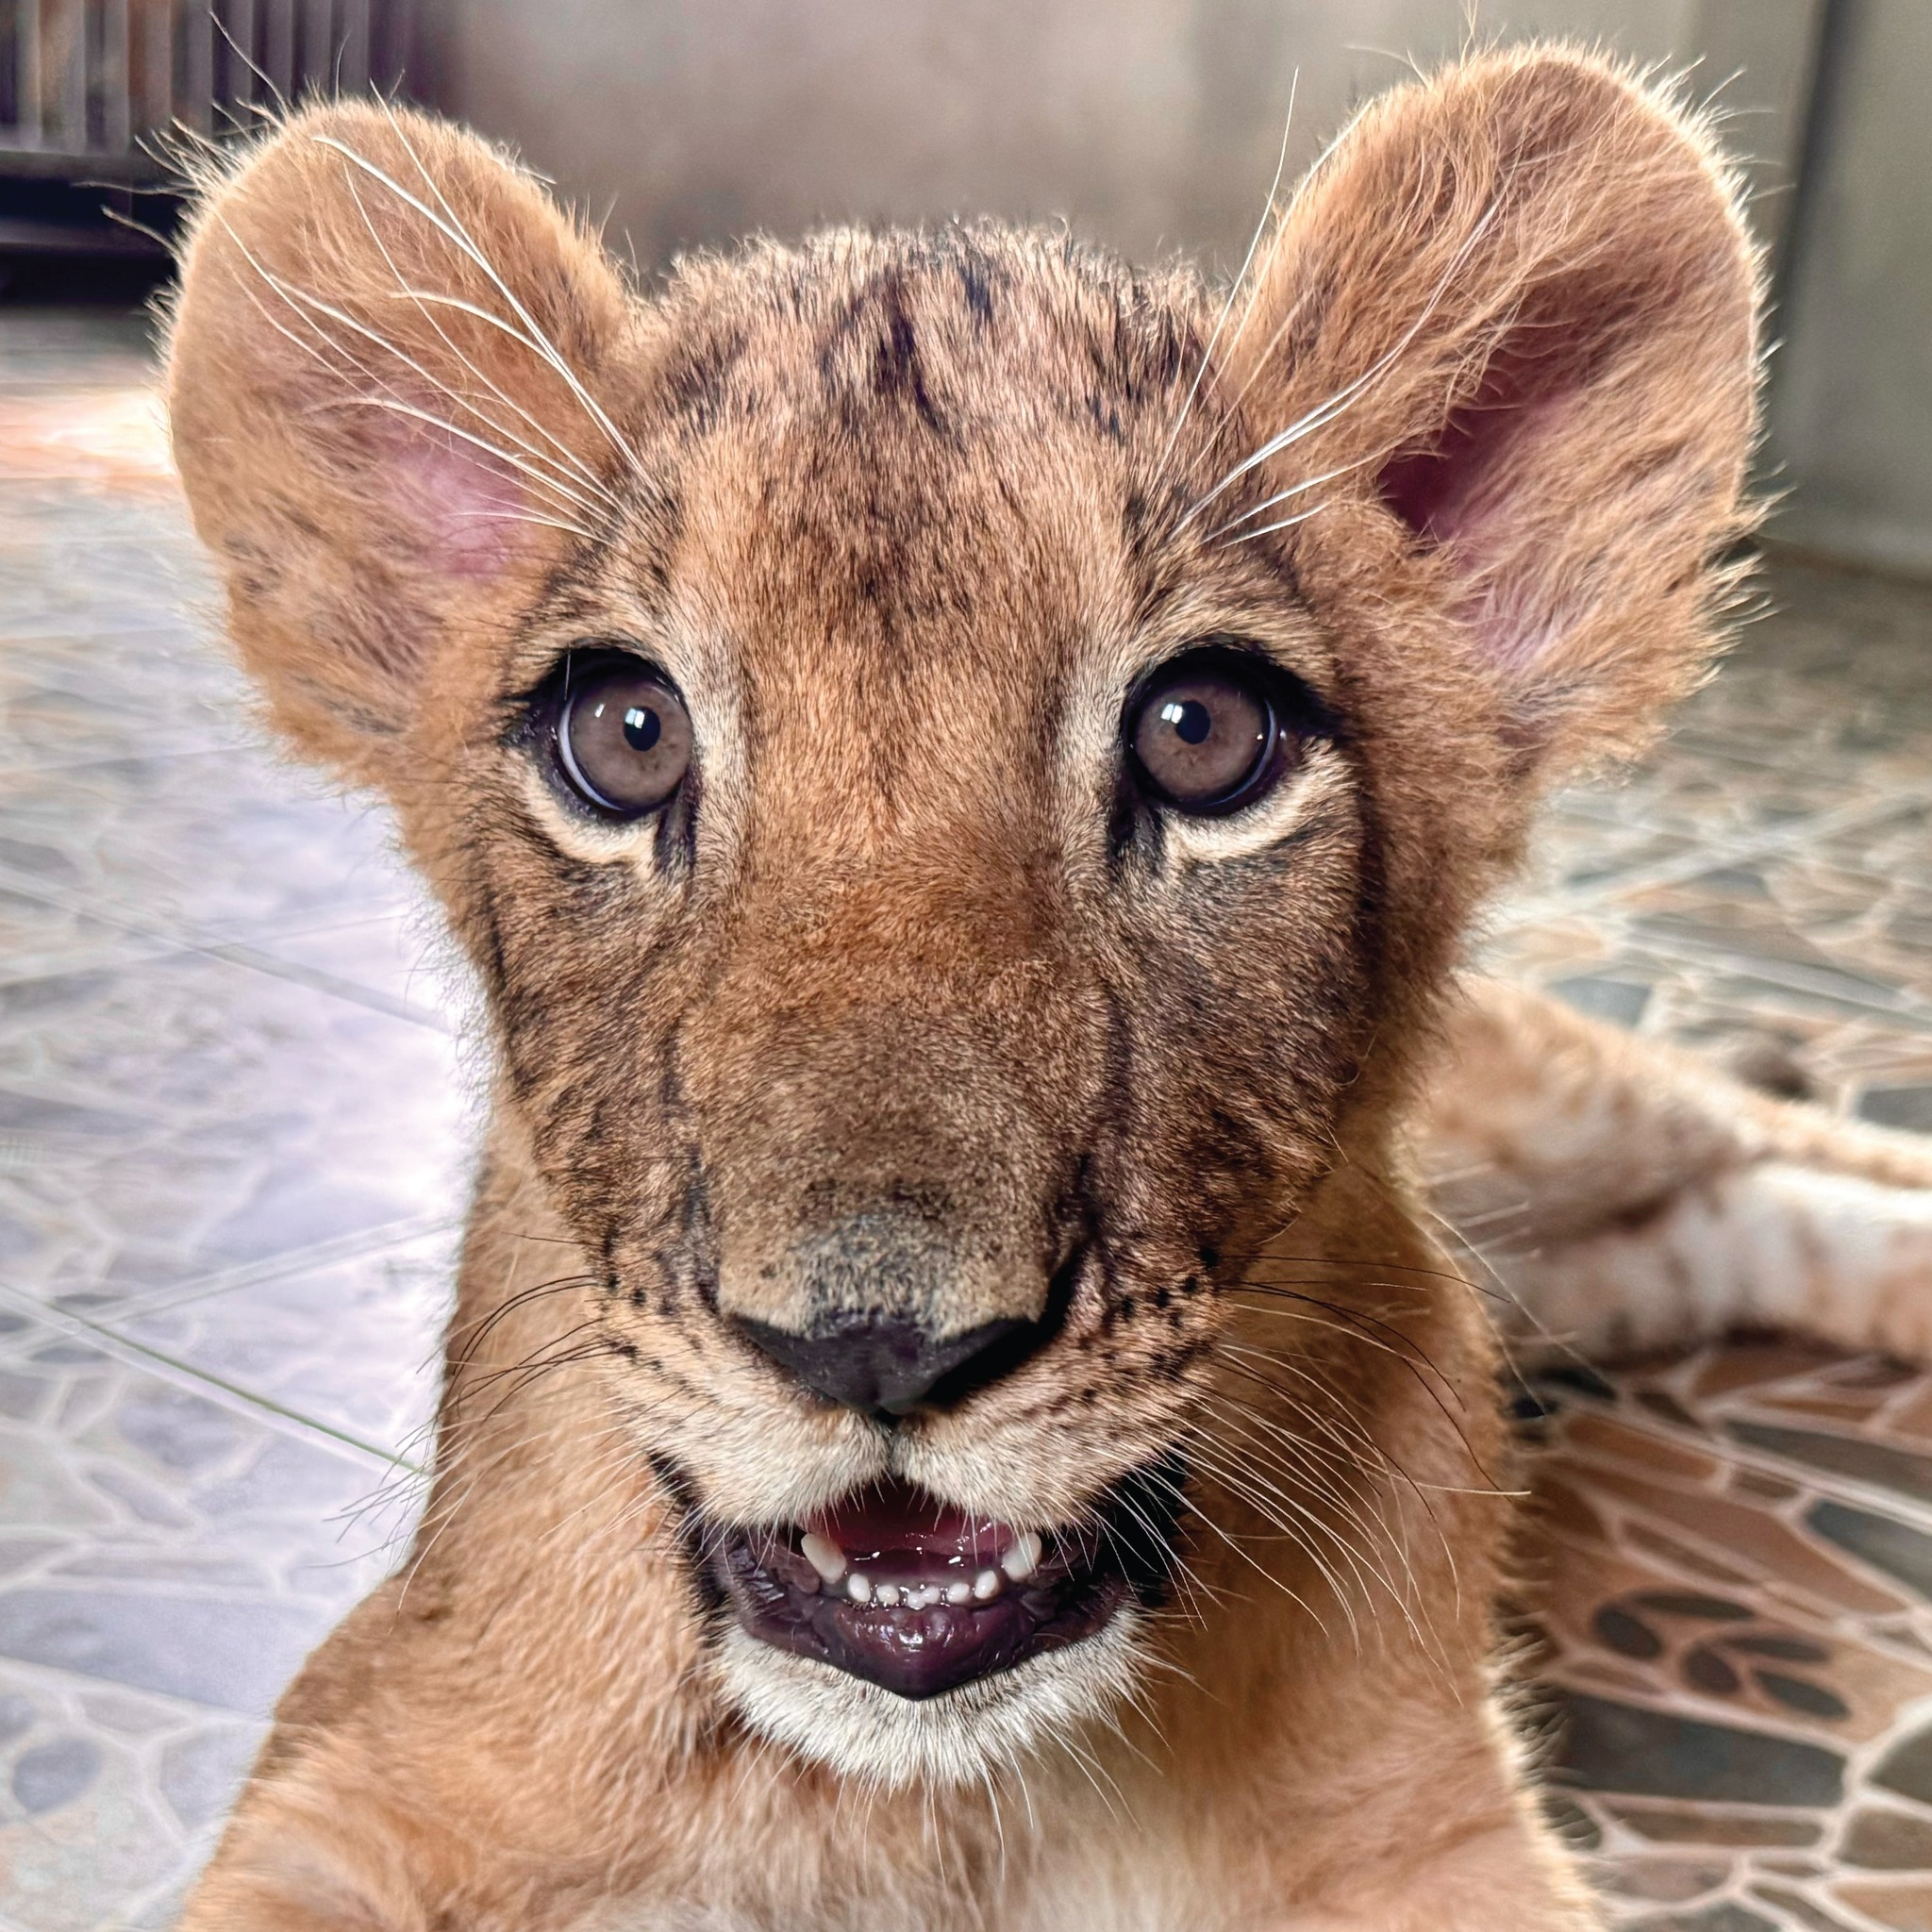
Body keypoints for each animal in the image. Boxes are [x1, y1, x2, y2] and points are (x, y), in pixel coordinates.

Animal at [160, 45, 1932, 1929]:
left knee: (1774, 1137)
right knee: (1740, 1217)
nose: (876, 1346)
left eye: (1202, 735)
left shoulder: (1436, 1823)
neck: (930, 1808)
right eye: (625, 737)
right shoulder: (354, 1758)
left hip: (1576, 1114)